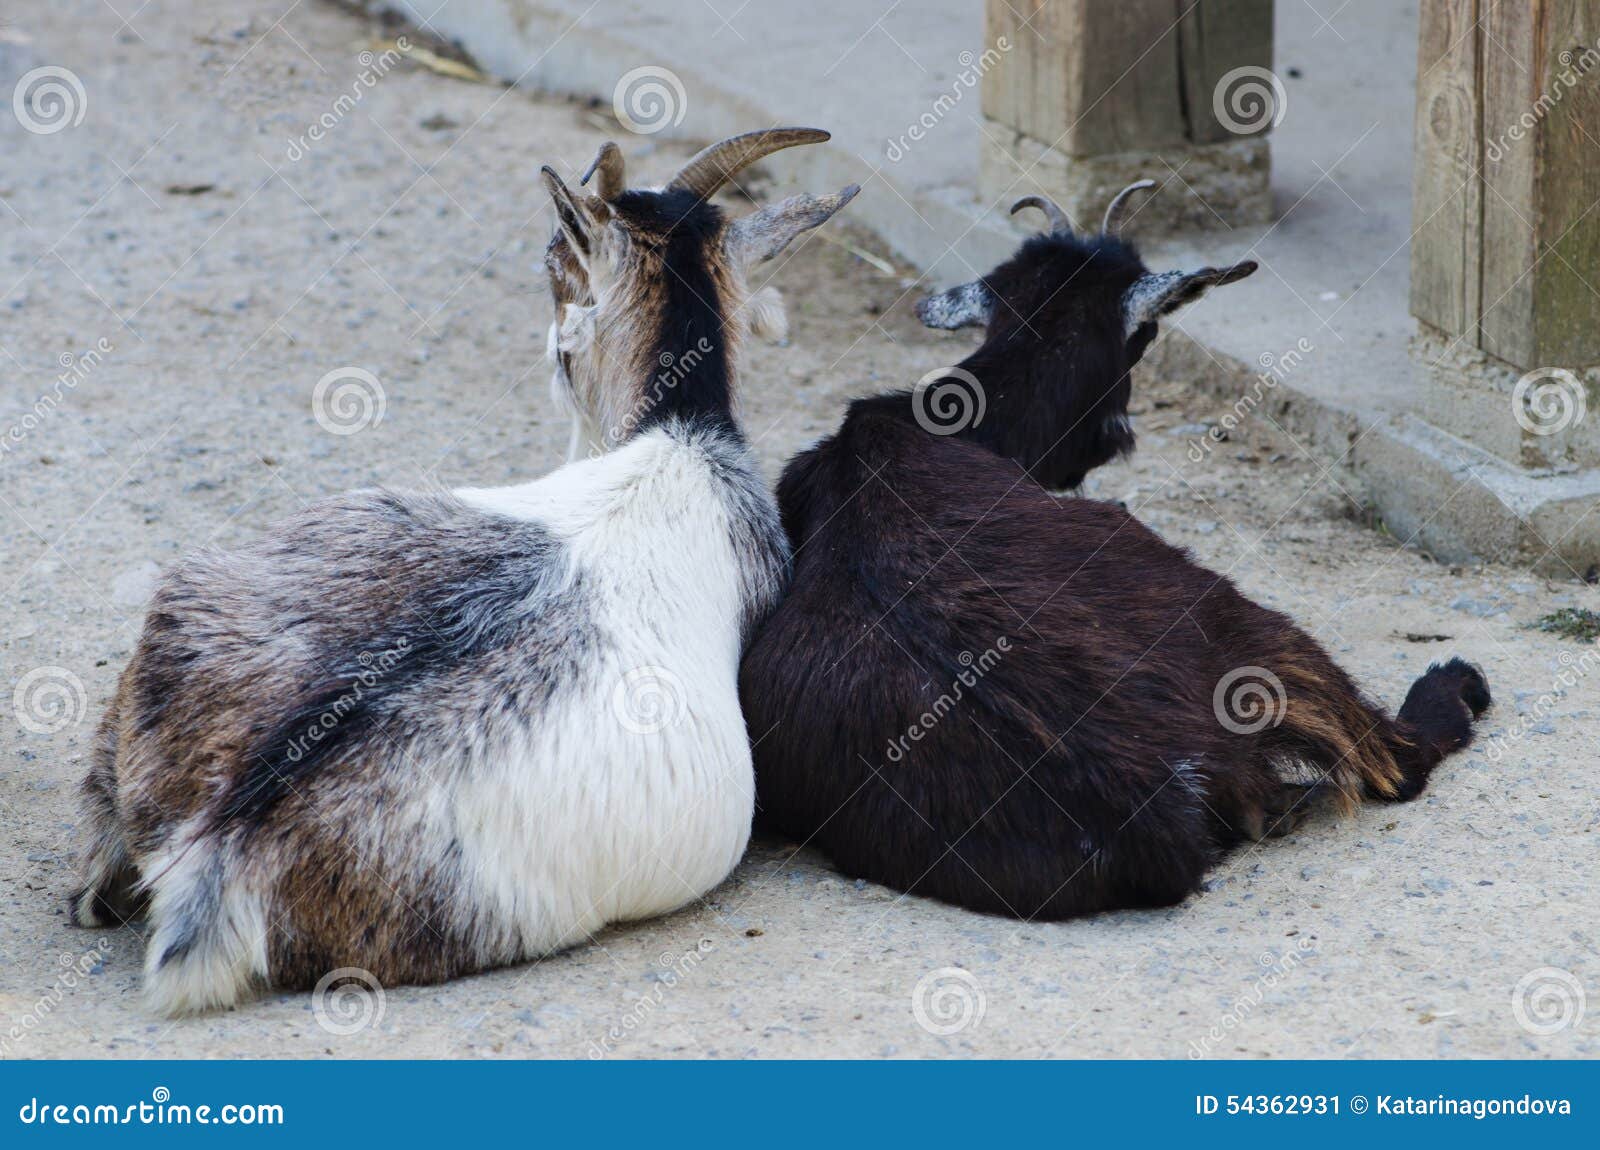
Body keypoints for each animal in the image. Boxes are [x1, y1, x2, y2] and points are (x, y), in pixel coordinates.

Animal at [738, 187, 1490, 920]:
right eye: (1144, 334)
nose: (1104, 444)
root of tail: (1145, 803)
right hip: (1245, 624)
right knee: (1400, 758)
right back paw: (1457, 683)